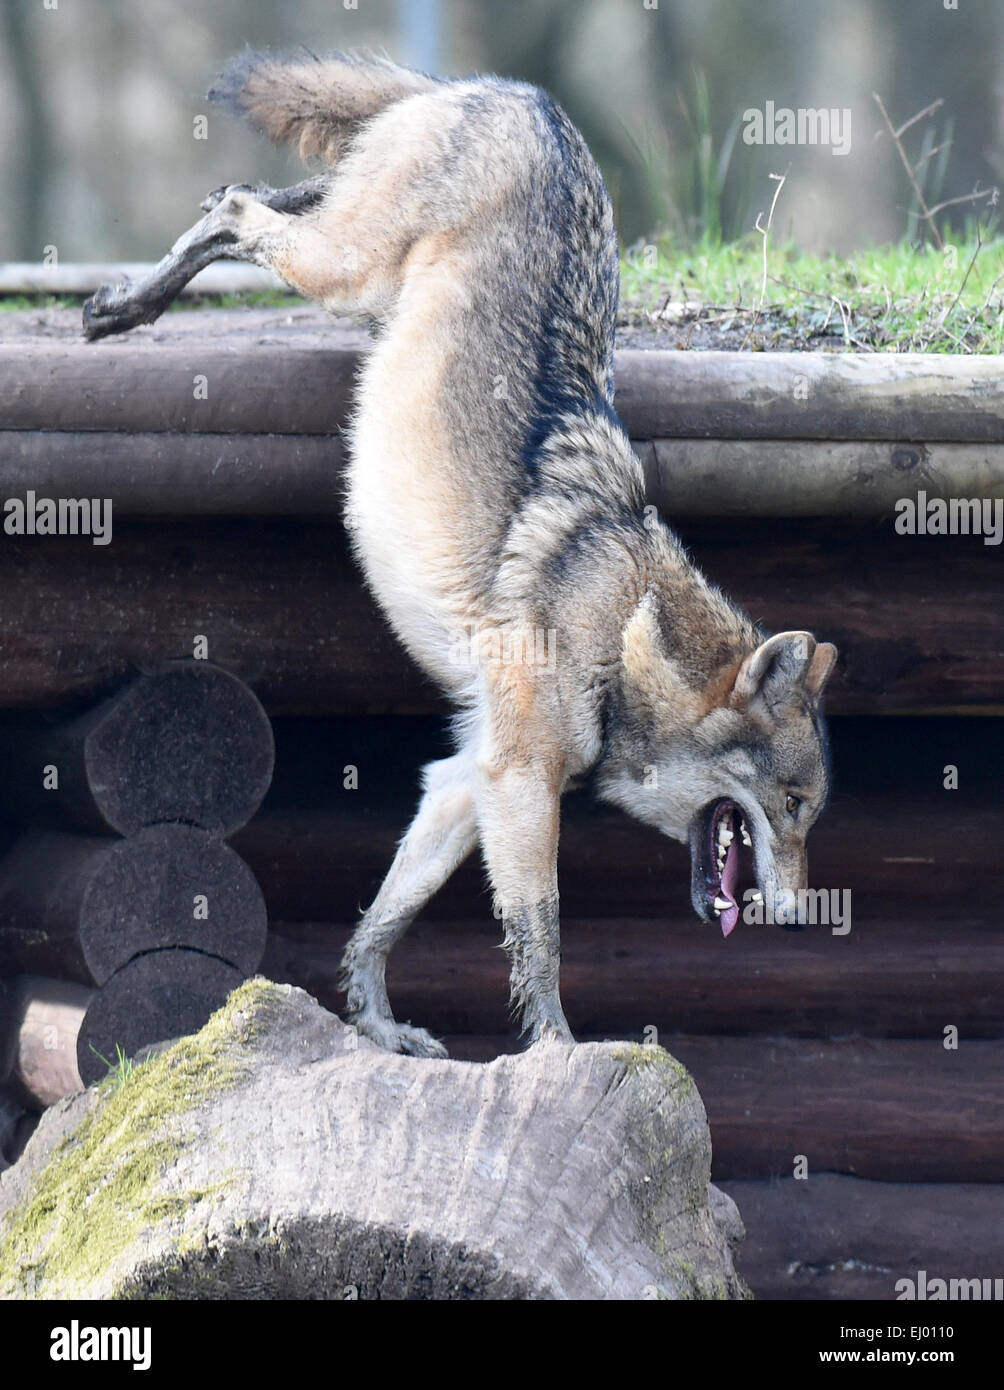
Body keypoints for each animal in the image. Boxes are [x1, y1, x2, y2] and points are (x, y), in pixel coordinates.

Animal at [84, 51, 838, 1057]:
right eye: (792, 808)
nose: (796, 919)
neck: (621, 622)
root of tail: (520, 92)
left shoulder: (461, 778)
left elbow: (386, 916)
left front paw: (374, 1024)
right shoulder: (517, 782)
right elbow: (540, 932)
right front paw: (556, 1052)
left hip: (348, 234)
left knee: (238, 195)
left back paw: (121, 307)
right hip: (345, 269)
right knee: (238, 207)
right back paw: (130, 307)